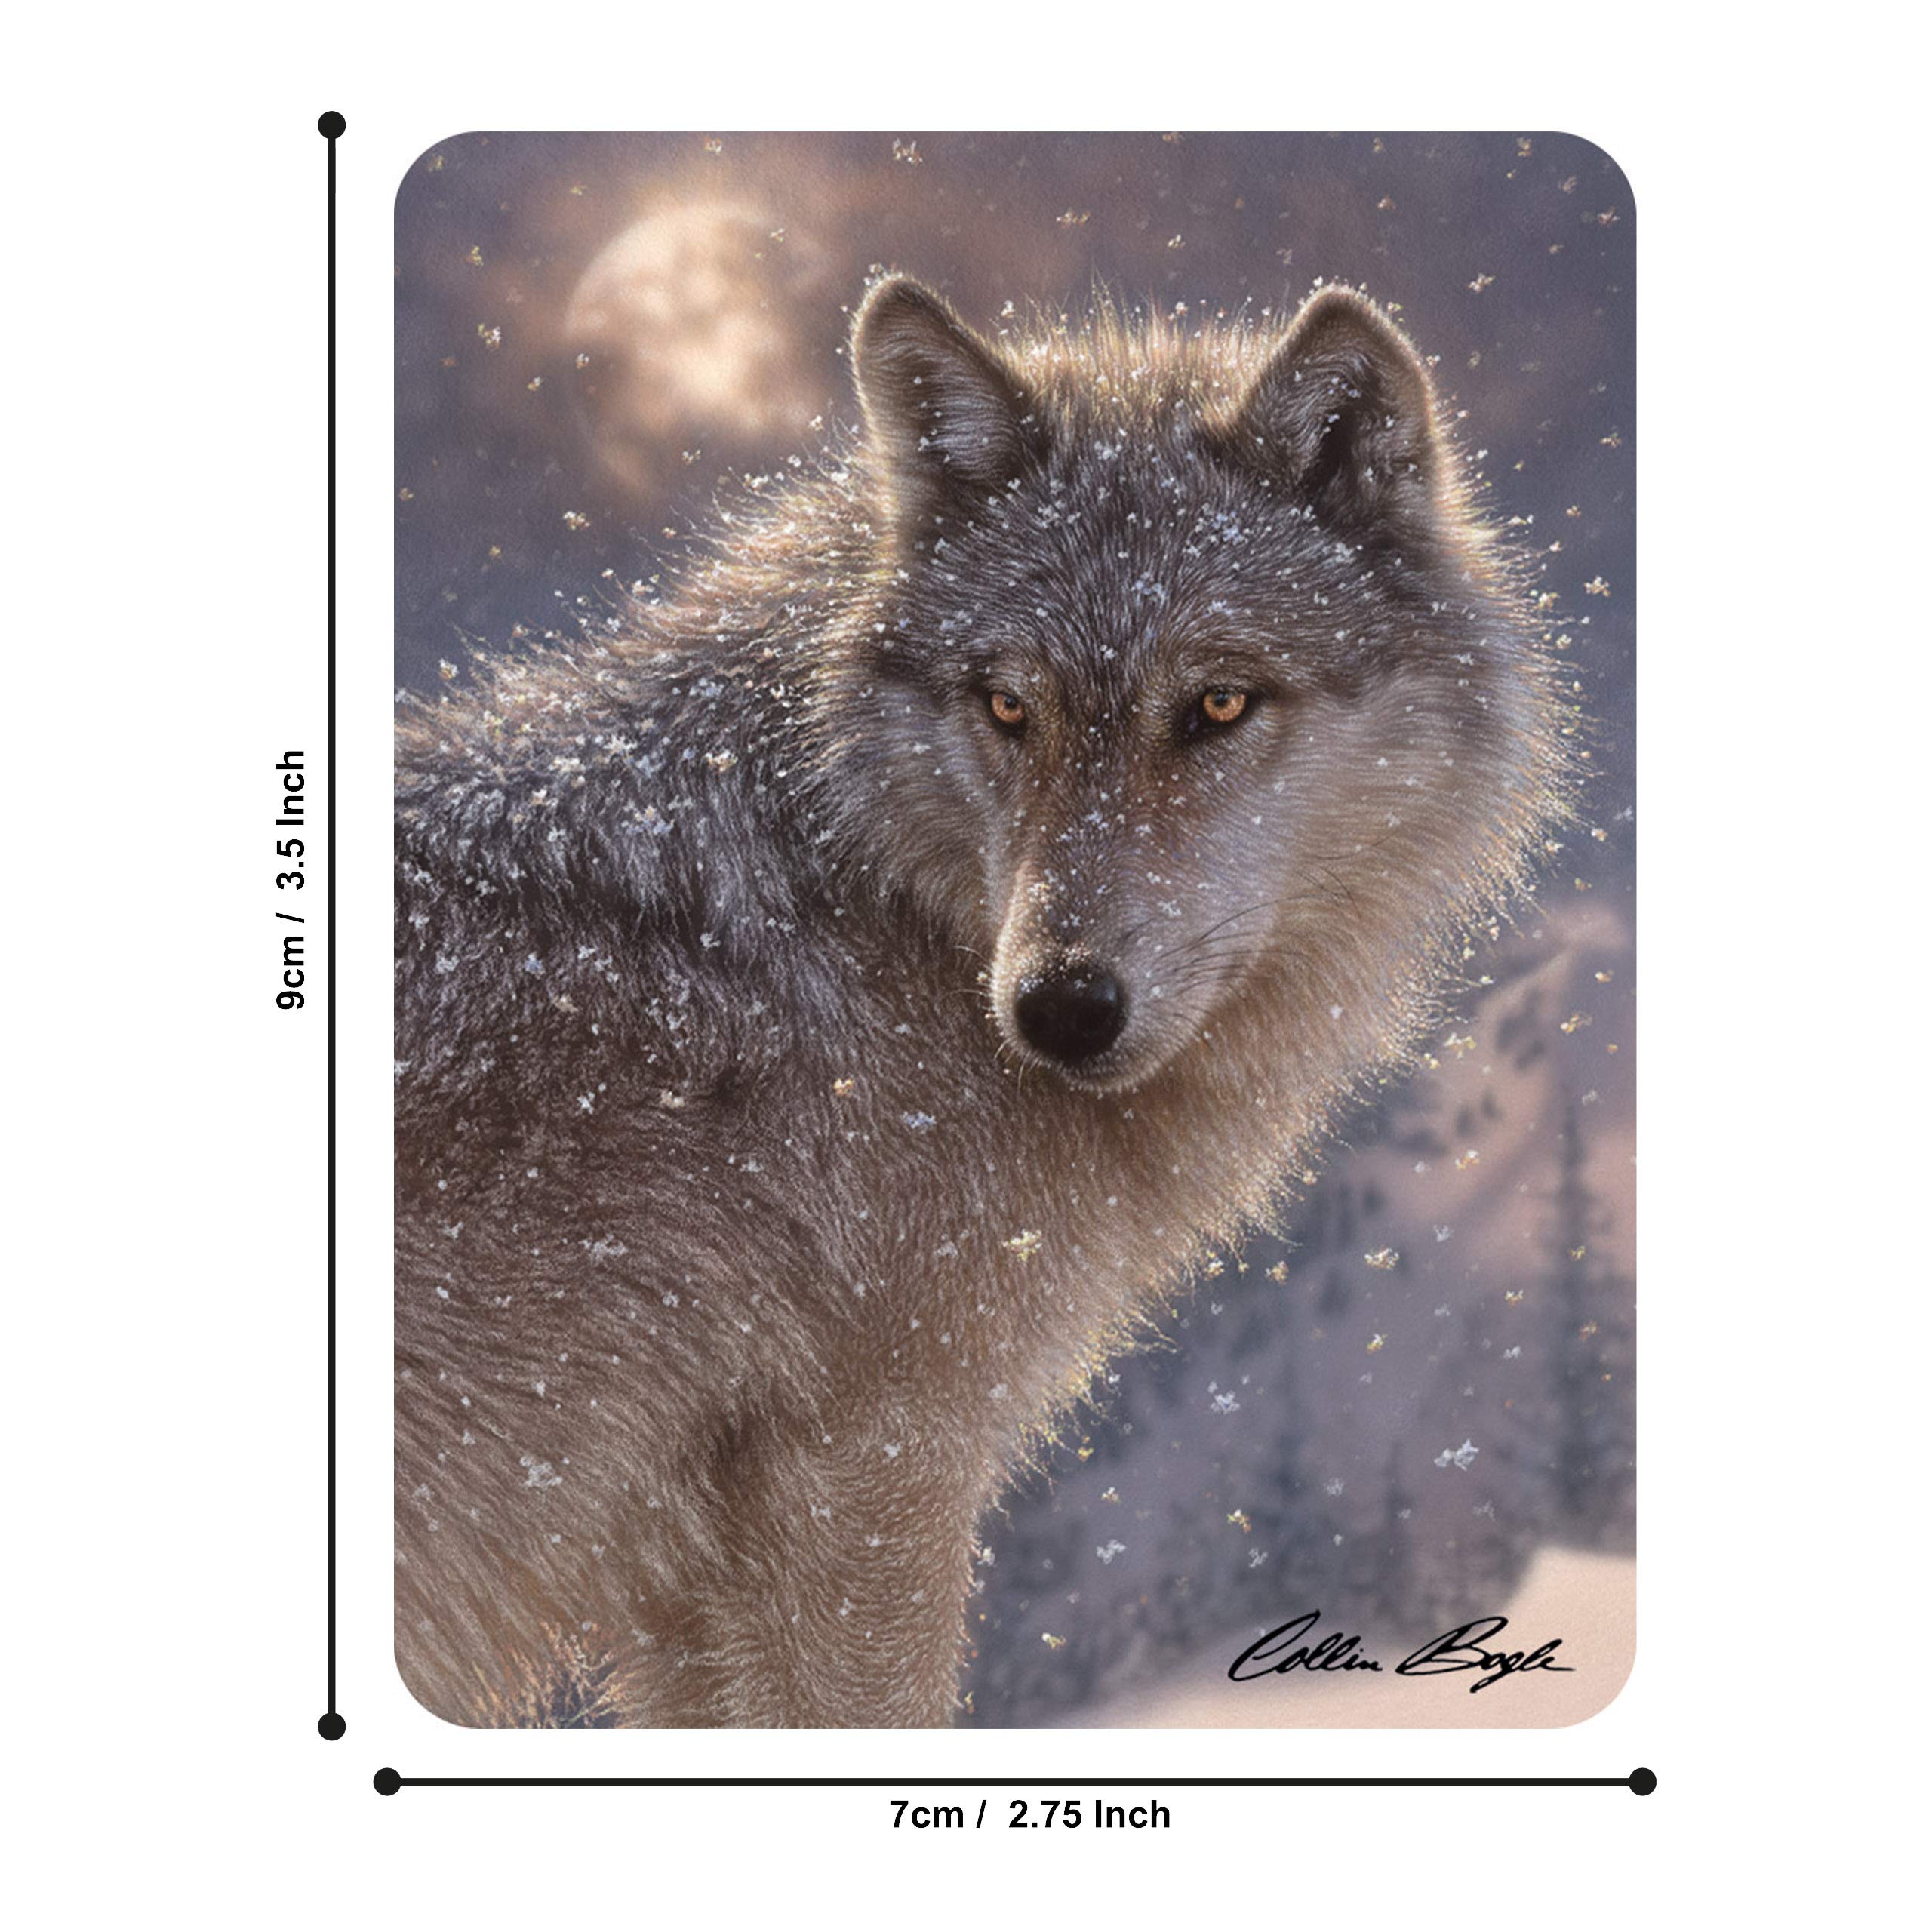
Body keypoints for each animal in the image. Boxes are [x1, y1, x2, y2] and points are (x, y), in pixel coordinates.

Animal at [395, 275, 1570, 1727]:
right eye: (1010, 706)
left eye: (1219, 702)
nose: (1060, 1009)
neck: (872, 899)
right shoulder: (872, 1475)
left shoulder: (706, 1572)